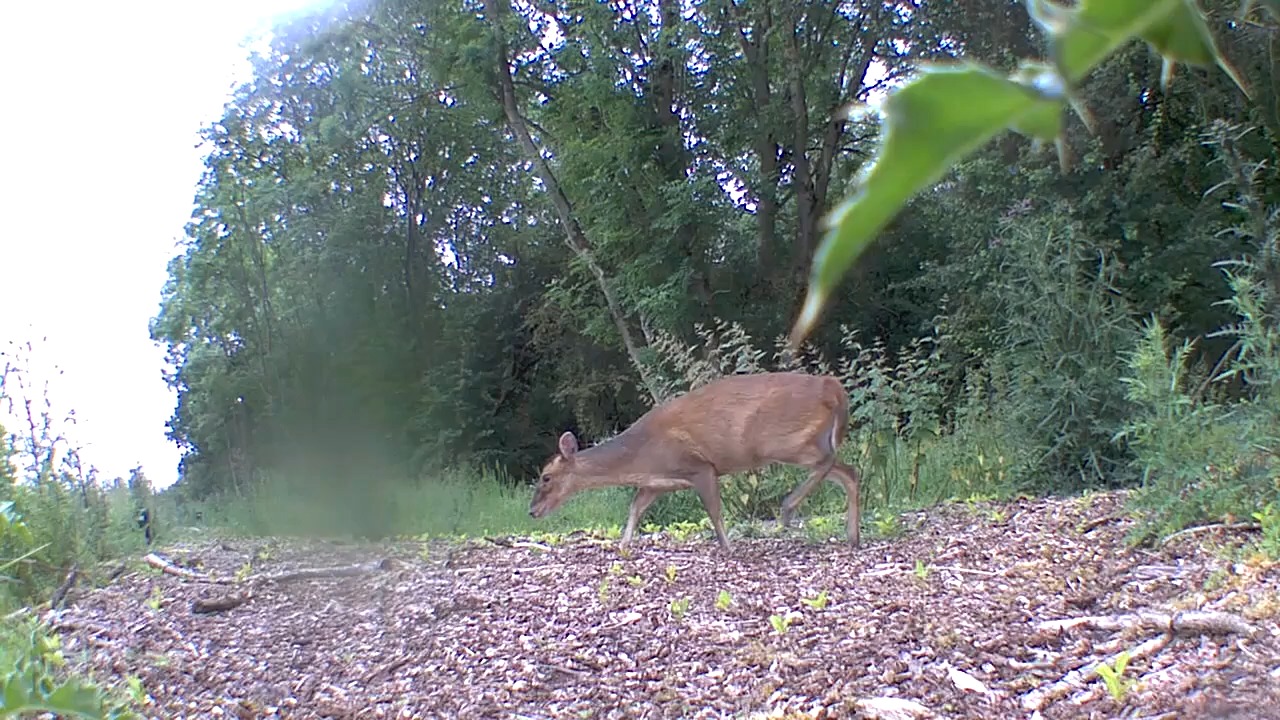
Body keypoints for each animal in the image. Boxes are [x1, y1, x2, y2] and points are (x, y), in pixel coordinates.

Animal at [528, 371, 862, 550]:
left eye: (546, 477)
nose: (532, 511)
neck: (638, 455)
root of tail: (834, 388)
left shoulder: (700, 467)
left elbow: (714, 512)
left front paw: (728, 547)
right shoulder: (656, 483)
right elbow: (635, 508)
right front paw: (622, 545)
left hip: (785, 440)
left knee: (831, 462)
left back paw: (788, 508)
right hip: (805, 439)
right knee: (848, 472)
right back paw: (852, 537)